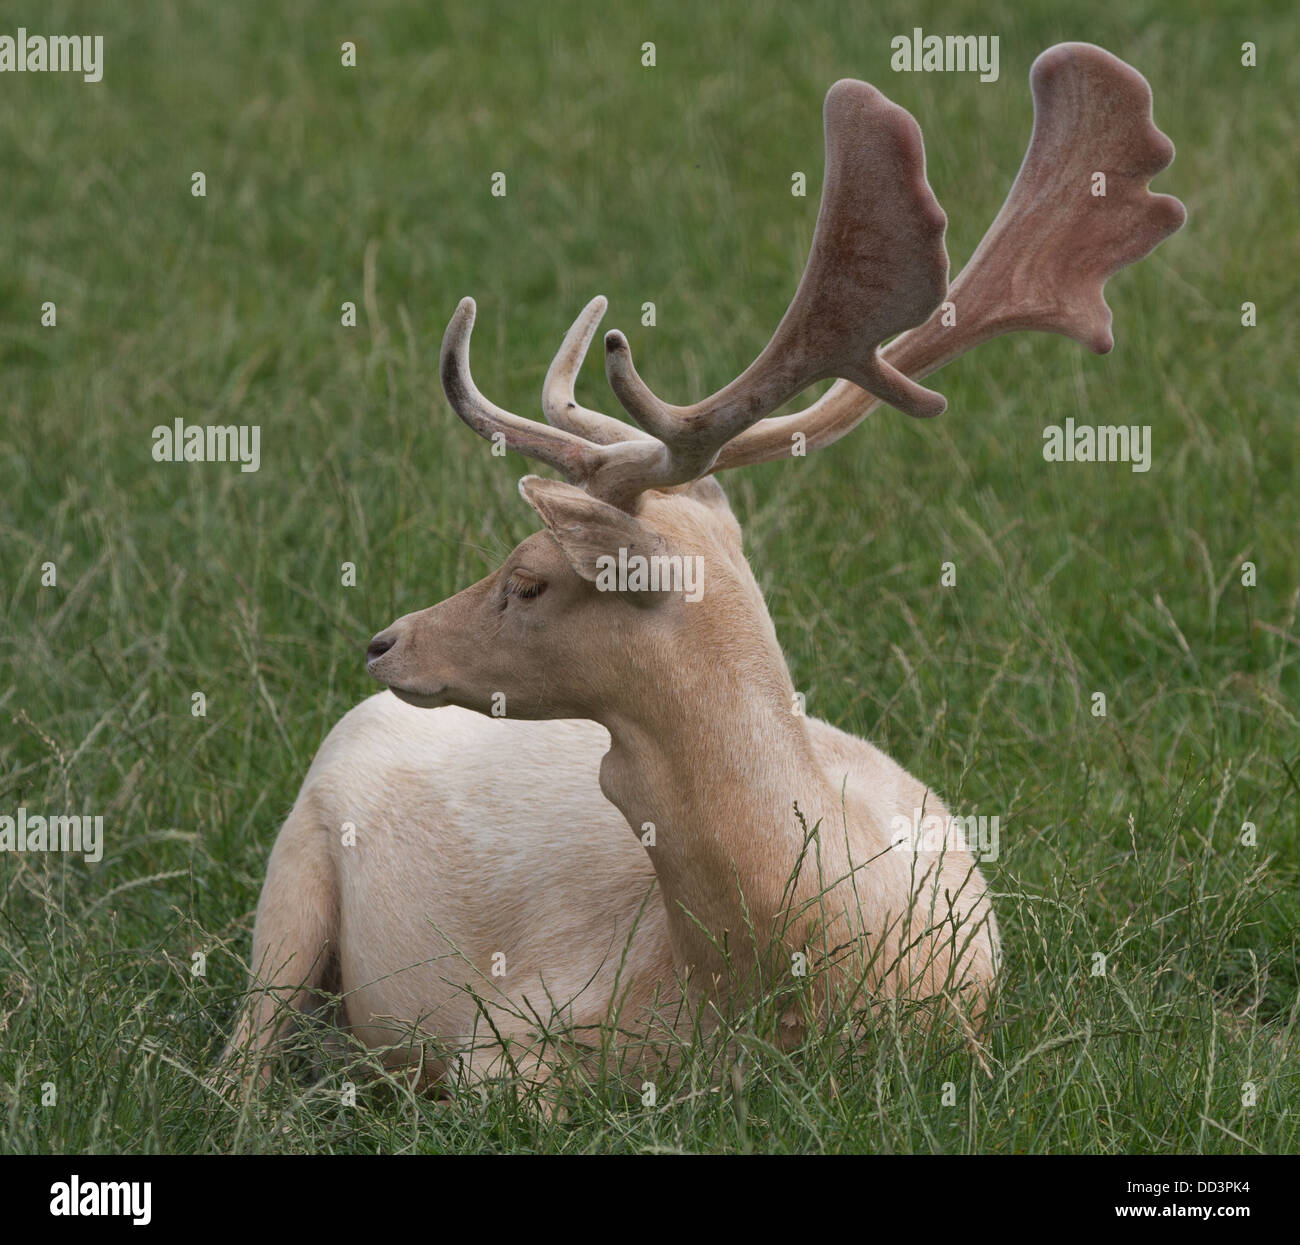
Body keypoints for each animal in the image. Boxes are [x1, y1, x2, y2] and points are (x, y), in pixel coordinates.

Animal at [219, 43, 1184, 1096]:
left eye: (528, 577)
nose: (385, 640)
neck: (812, 987)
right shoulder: (519, 1021)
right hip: (294, 860)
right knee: (242, 1053)